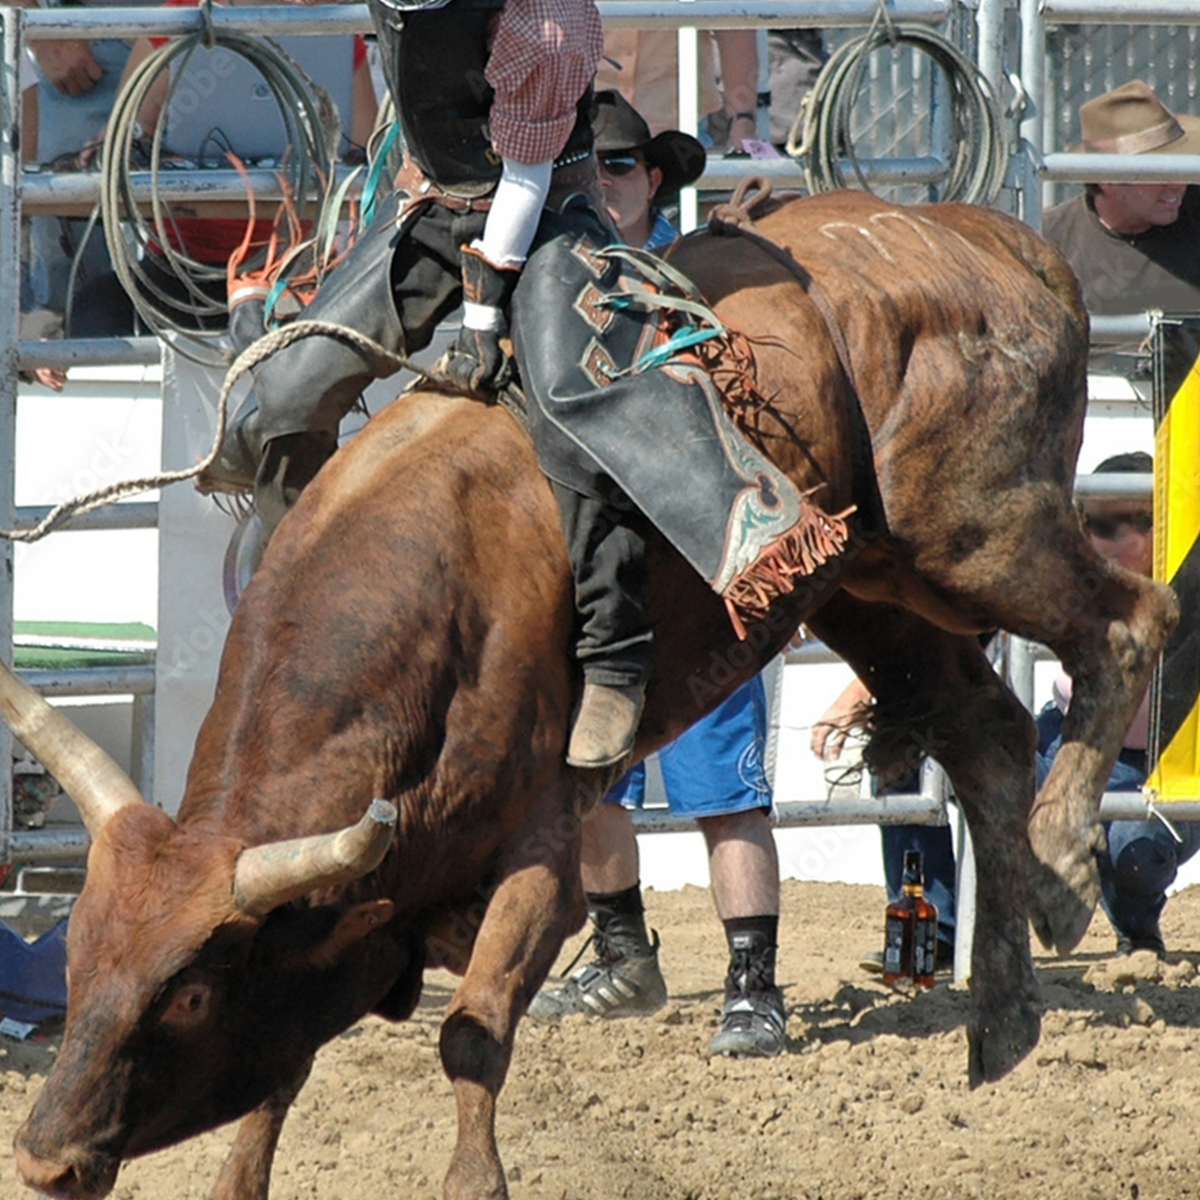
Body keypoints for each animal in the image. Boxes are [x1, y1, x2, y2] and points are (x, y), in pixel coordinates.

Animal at [9, 190, 1177, 1200]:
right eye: (78, 954)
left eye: (189, 990)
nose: (45, 1158)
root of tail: (983, 236)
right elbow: (281, 1066)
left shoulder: (538, 853)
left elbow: (470, 1032)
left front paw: (476, 1180)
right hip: (871, 586)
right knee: (987, 733)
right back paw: (1010, 1002)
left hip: (974, 534)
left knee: (1130, 623)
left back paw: (1066, 860)